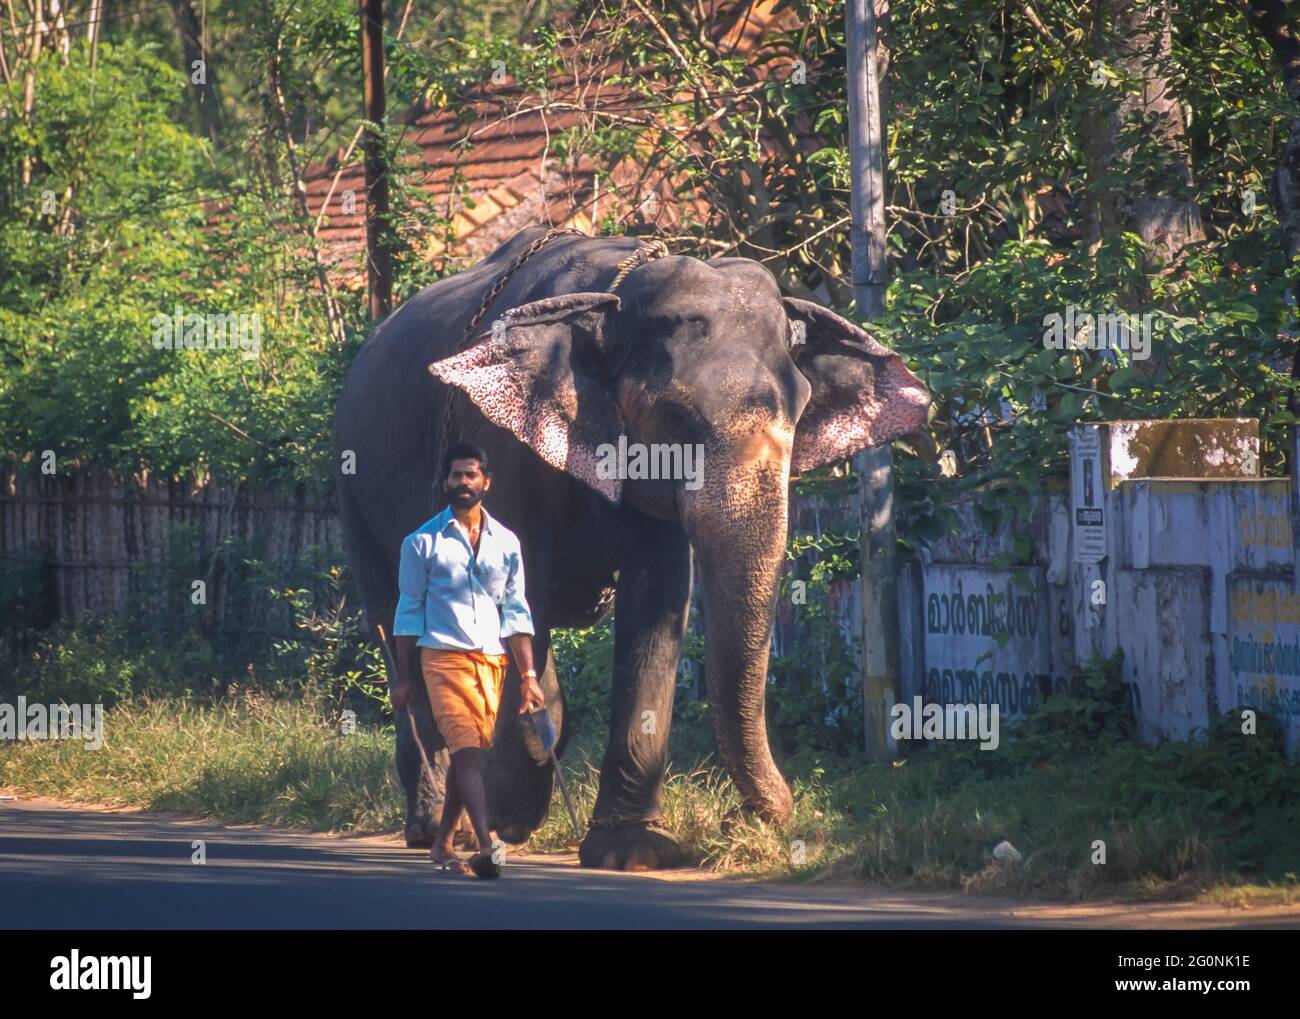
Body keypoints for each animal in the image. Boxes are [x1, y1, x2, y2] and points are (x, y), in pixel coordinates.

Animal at [333, 225, 929, 870]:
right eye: (675, 416)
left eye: (798, 414)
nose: (745, 818)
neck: (612, 300)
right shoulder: (503, 442)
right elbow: (519, 596)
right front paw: (515, 815)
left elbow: (659, 602)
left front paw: (633, 852)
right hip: (354, 494)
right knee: (402, 628)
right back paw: (443, 831)